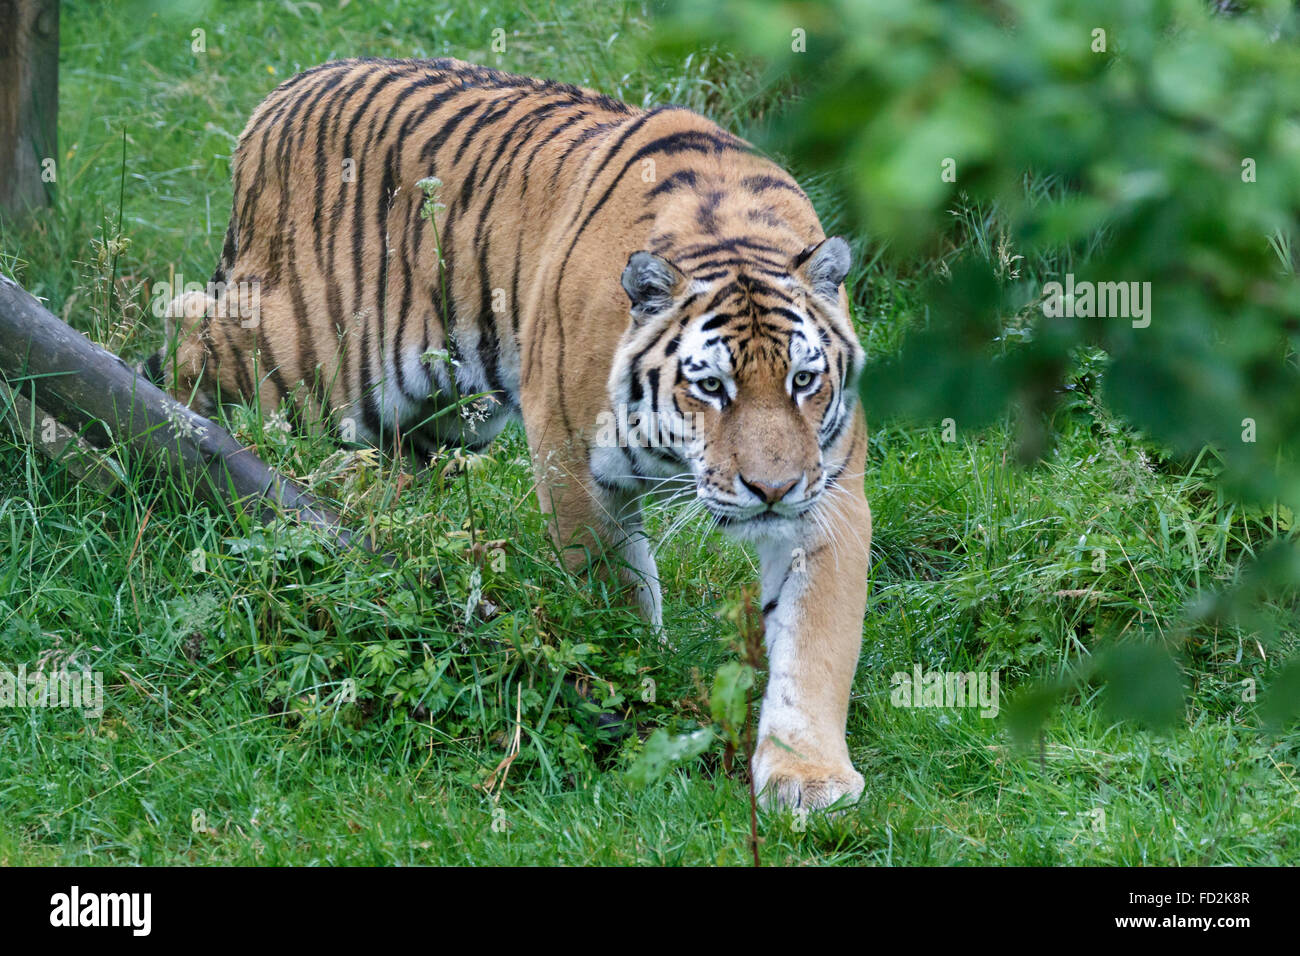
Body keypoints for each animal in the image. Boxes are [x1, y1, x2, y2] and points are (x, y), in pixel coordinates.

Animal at [146, 57, 872, 811]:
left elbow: (815, 641)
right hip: (308, 357)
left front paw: (808, 776)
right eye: (710, 388)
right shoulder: (574, 462)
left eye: (802, 381)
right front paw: (640, 685)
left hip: (430, 413)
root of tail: (280, 98)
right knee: (189, 323)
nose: (772, 489)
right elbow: (615, 593)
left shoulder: (829, 493)